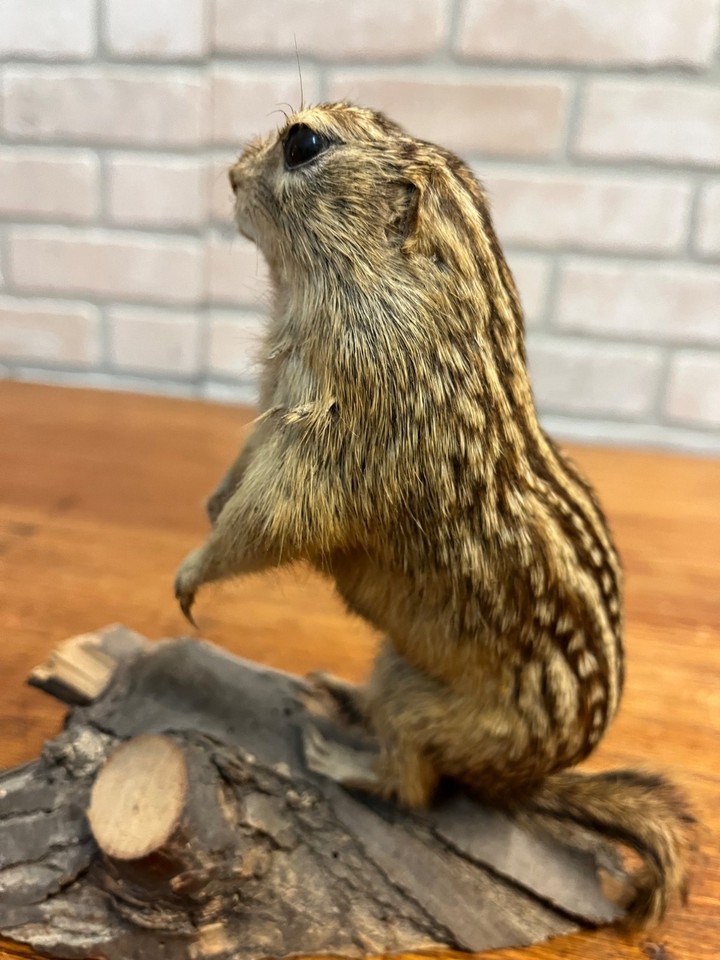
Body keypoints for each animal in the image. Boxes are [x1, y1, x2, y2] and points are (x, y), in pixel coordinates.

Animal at [175, 102, 693, 928]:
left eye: (303, 143)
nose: (227, 174)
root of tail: (526, 781)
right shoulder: (274, 408)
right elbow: (239, 475)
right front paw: (208, 502)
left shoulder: (323, 450)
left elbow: (262, 525)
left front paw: (188, 576)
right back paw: (337, 696)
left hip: (422, 705)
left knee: (415, 785)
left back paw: (338, 757)